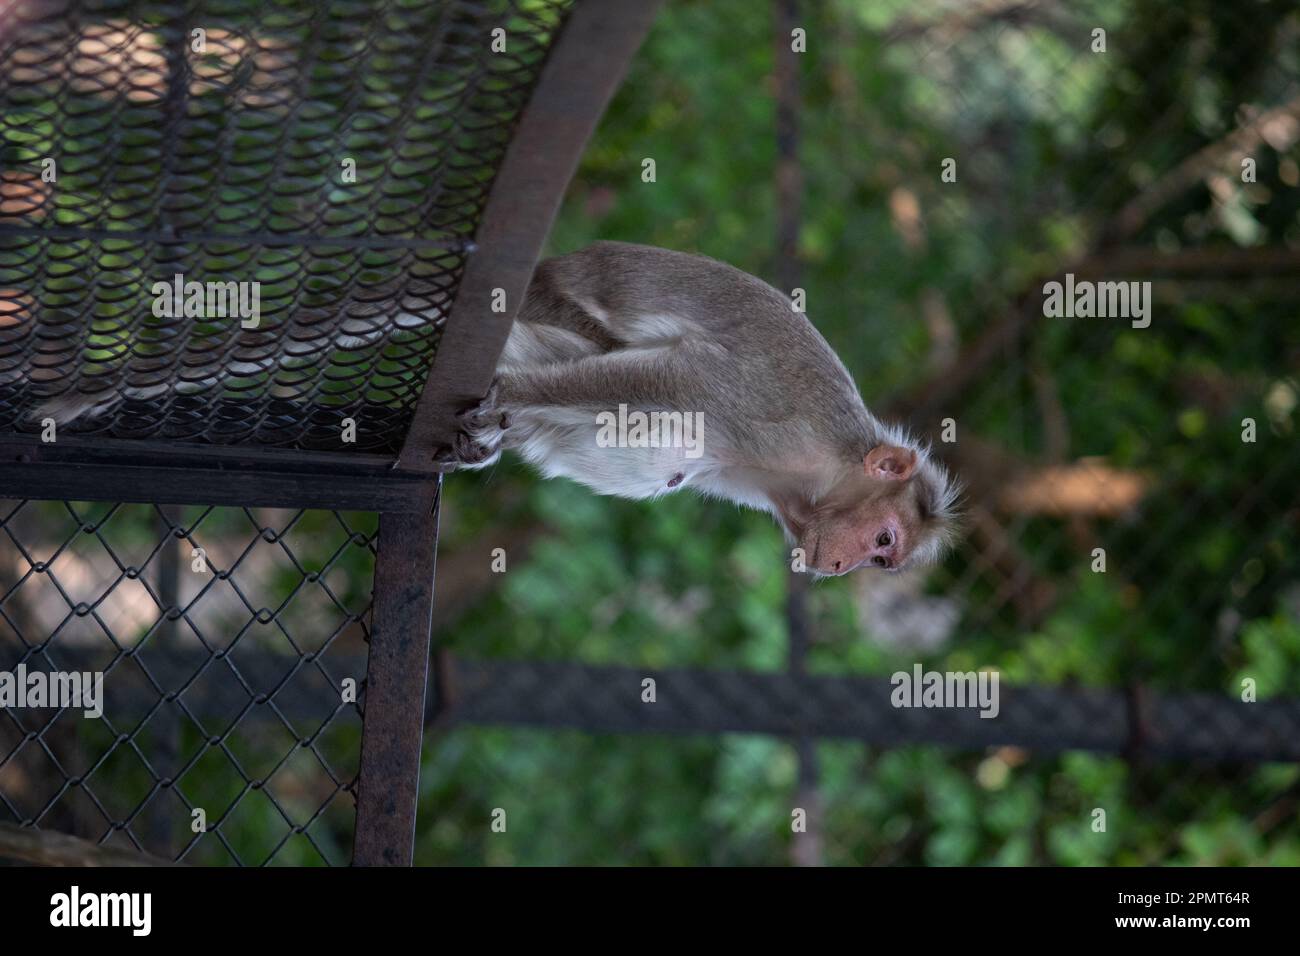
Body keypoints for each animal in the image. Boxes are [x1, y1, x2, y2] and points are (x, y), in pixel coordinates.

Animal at [450, 241, 960, 575]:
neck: (829, 470)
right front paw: (505, 389)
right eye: (883, 539)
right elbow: (685, 381)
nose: (842, 566)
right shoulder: (780, 413)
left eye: (881, 557)